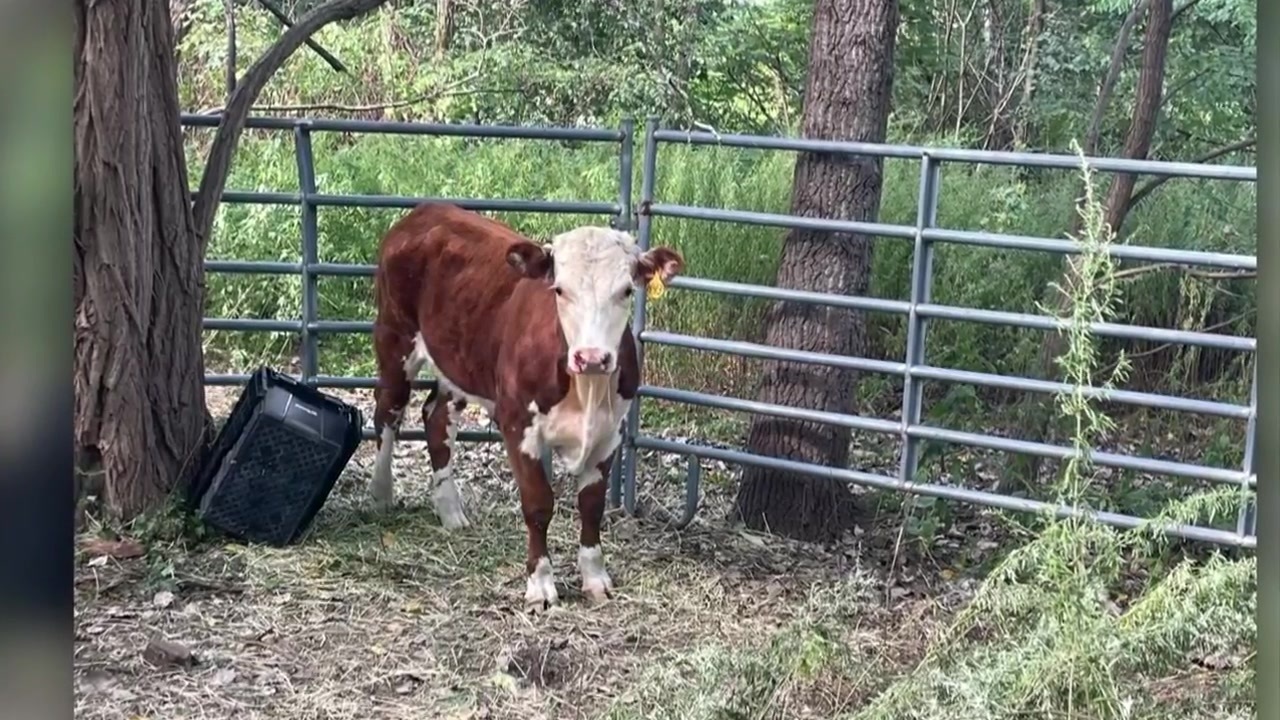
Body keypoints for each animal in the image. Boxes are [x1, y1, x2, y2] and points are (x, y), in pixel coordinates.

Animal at [369, 202, 684, 611]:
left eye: (627, 290)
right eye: (560, 290)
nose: (592, 357)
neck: (585, 388)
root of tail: (428, 210)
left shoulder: (609, 435)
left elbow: (592, 506)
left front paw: (595, 579)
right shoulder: (518, 426)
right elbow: (538, 505)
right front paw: (541, 585)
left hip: (460, 364)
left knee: (436, 419)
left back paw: (451, 512)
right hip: (394, 338)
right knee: (387, 412)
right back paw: (381, 493)